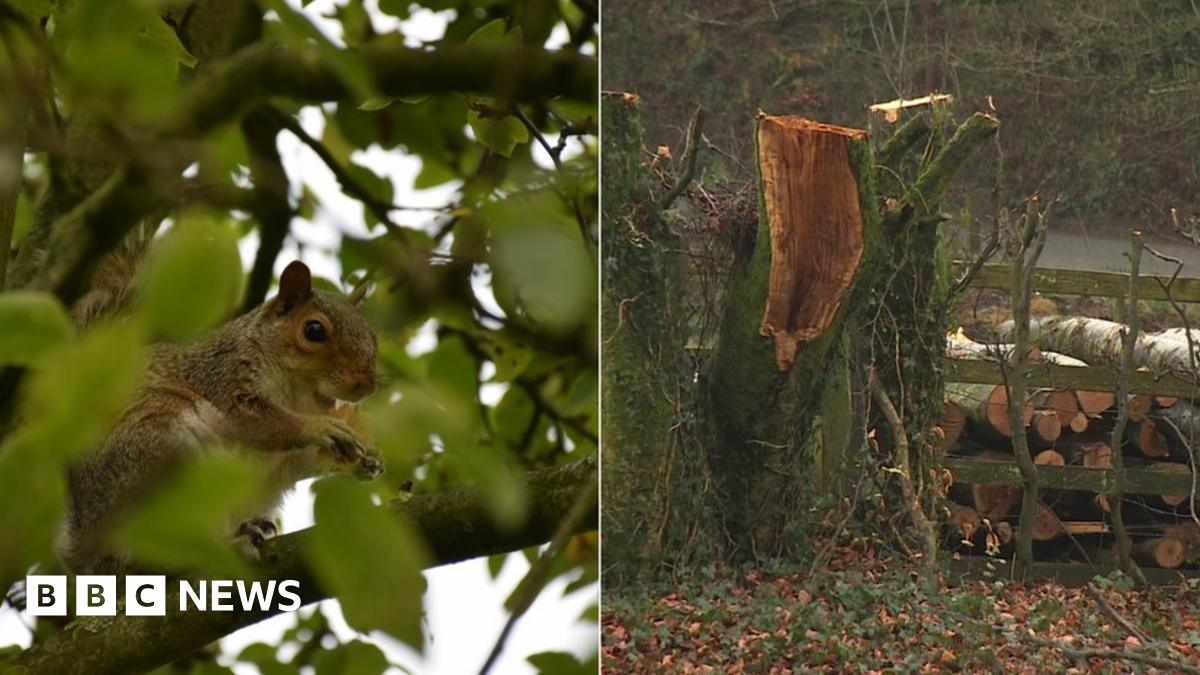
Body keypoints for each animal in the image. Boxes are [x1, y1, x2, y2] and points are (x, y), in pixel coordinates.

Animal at [57, 260, 383, 574]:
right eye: (314, 330)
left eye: (373, 336)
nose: (366, 385)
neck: (301, 394)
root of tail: (87, 548)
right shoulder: (224, 381)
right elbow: (261, 426)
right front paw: (320, 428)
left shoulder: (292, 457)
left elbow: (304, 461)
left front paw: (364, 461)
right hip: (159, 451)